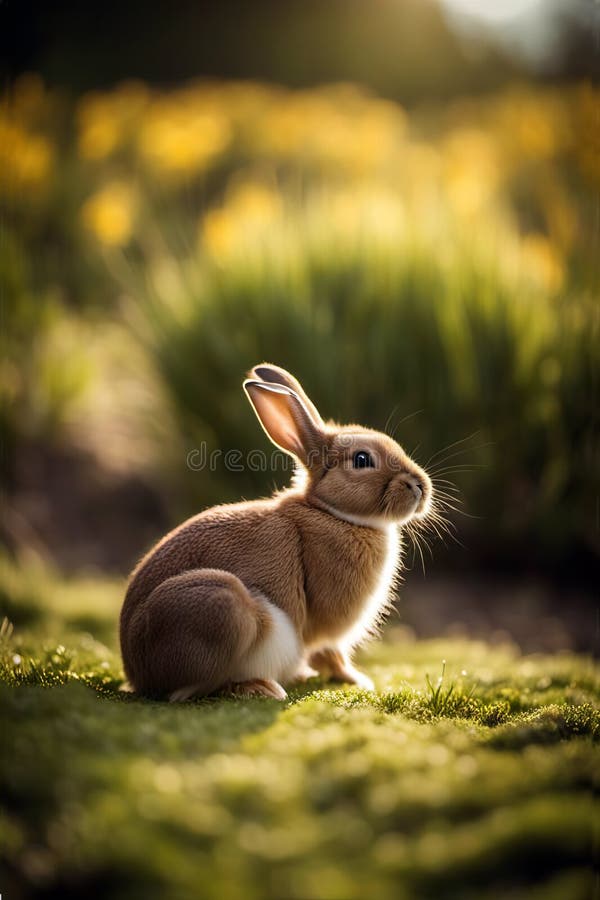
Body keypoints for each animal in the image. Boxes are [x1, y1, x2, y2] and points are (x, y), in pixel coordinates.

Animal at [120, 364, 432, 701]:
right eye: (362, 459)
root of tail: (136, 671)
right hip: (224, 604)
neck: (331, 512)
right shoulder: (322, 630)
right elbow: (331, 653)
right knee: (190, 690)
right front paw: (356, 680)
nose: (420, 486)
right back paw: (260, 687)